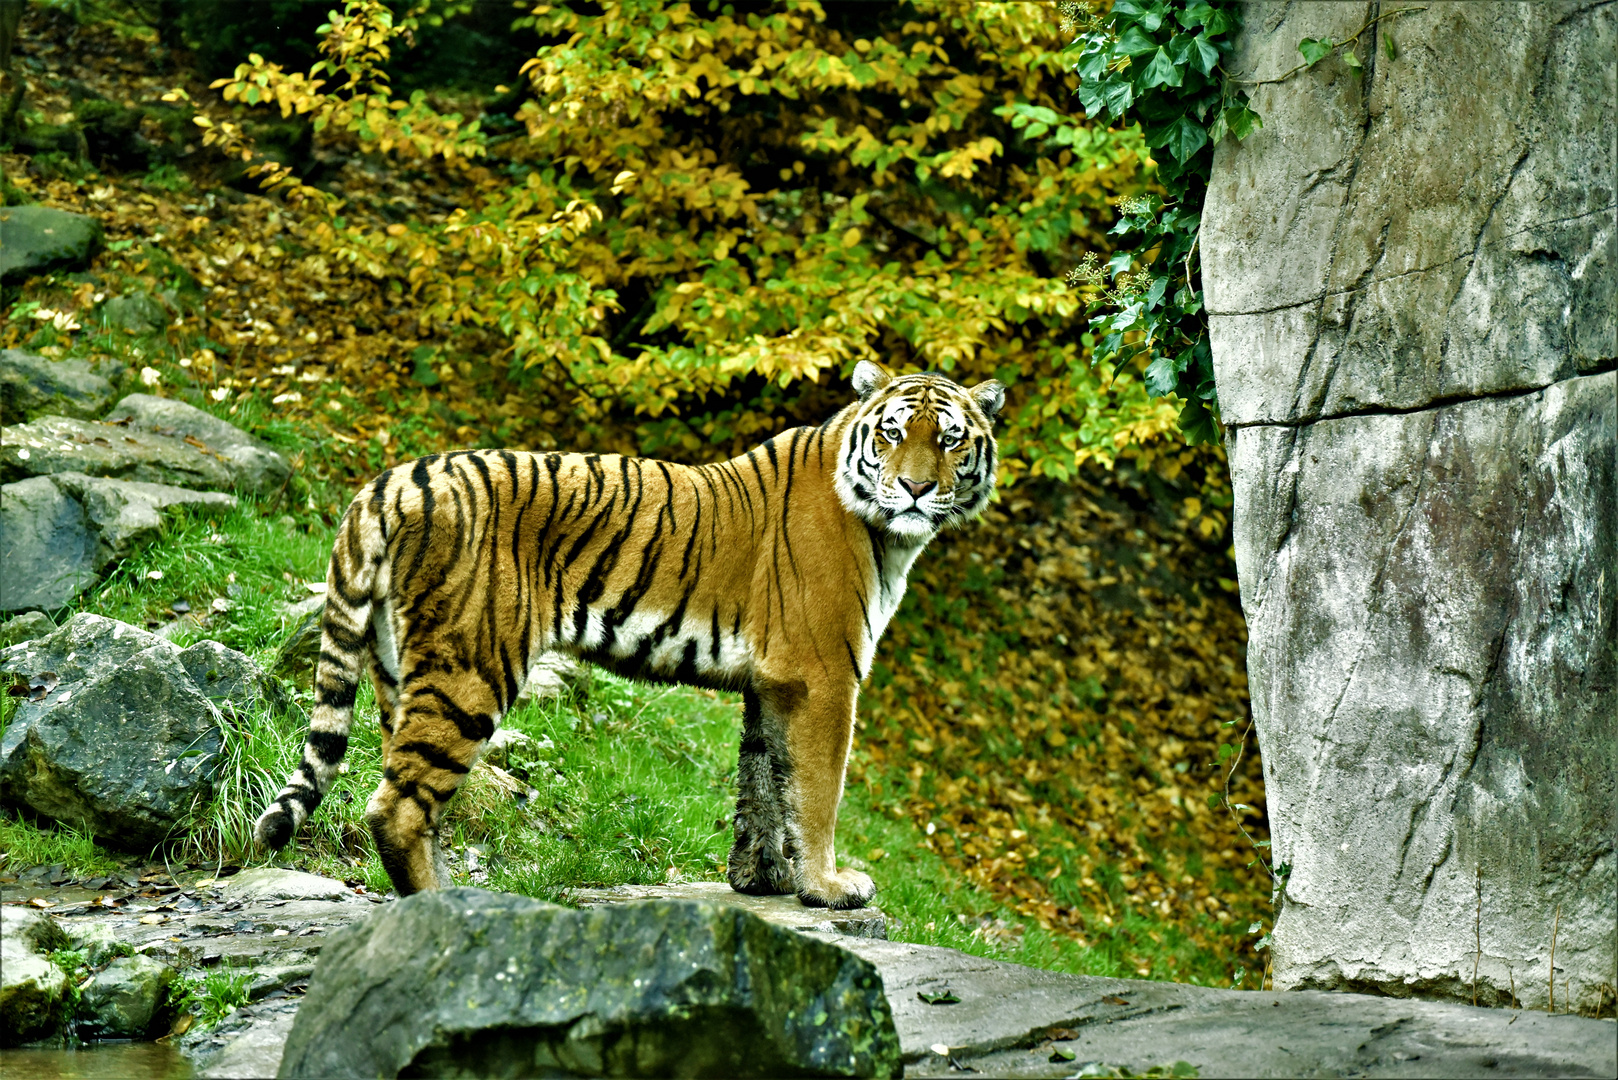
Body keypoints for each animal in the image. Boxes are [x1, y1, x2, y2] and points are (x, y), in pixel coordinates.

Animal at [253, 361, 1004, 908]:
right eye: (893, 434)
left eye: (950, 439)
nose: (915, 489)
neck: (886, 534)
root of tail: (386, 480)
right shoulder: (823, 677)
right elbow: (818, 792)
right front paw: (828, 886)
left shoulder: (772, 683)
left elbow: (764, 783)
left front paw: (763, 881)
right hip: (469, 667)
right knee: (398, 806)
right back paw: (444, 910)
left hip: (395, 666)